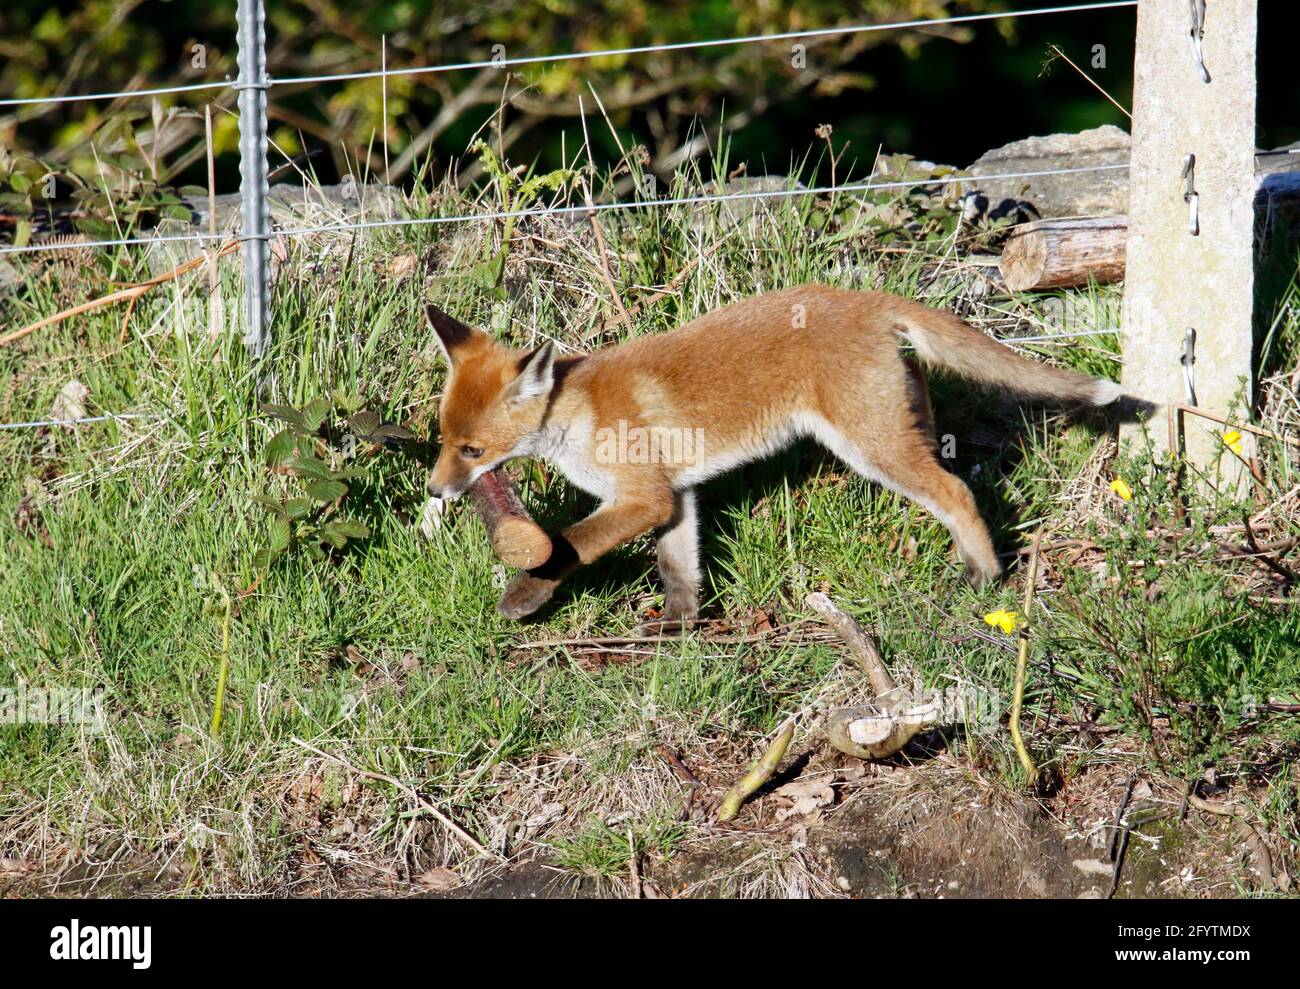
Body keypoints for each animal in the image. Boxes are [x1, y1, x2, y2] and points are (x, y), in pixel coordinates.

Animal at [424, 284, 1123, 626]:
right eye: (441, 440)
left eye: (473, 449)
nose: (434, 491)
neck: (579, 413)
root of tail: (865, 296)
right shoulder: (674, 496)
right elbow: (681, 569)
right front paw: (678, 629)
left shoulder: (643, 496)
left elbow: (568, 545)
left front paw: (525, 595)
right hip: (902, 426)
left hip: (869, 445)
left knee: (956, 492)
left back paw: (986, 578)